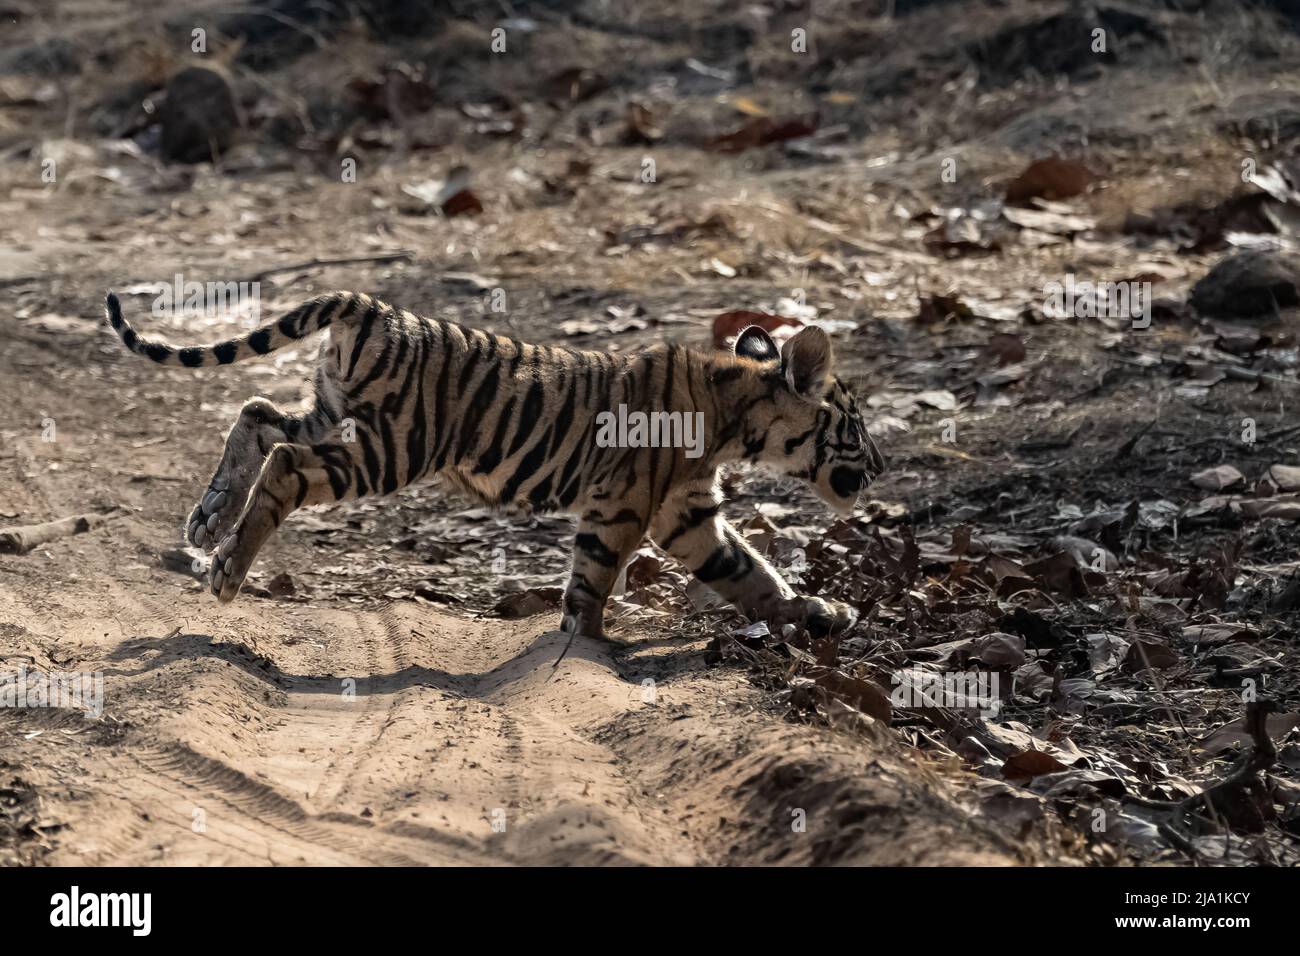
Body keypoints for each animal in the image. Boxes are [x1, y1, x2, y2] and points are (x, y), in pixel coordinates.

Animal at [103, 290, 885, 639]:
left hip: (338, 415)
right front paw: (588, 644)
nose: (880, 465)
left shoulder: (687, 514)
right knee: (288, 462)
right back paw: (228, 571)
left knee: (258, 416)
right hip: (392, 447)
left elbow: (752, 573)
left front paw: (814, 611)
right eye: (855, 424)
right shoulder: (628, 504)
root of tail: (372, 306)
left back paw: (208, 523)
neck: (735, 411)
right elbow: (593, 576)